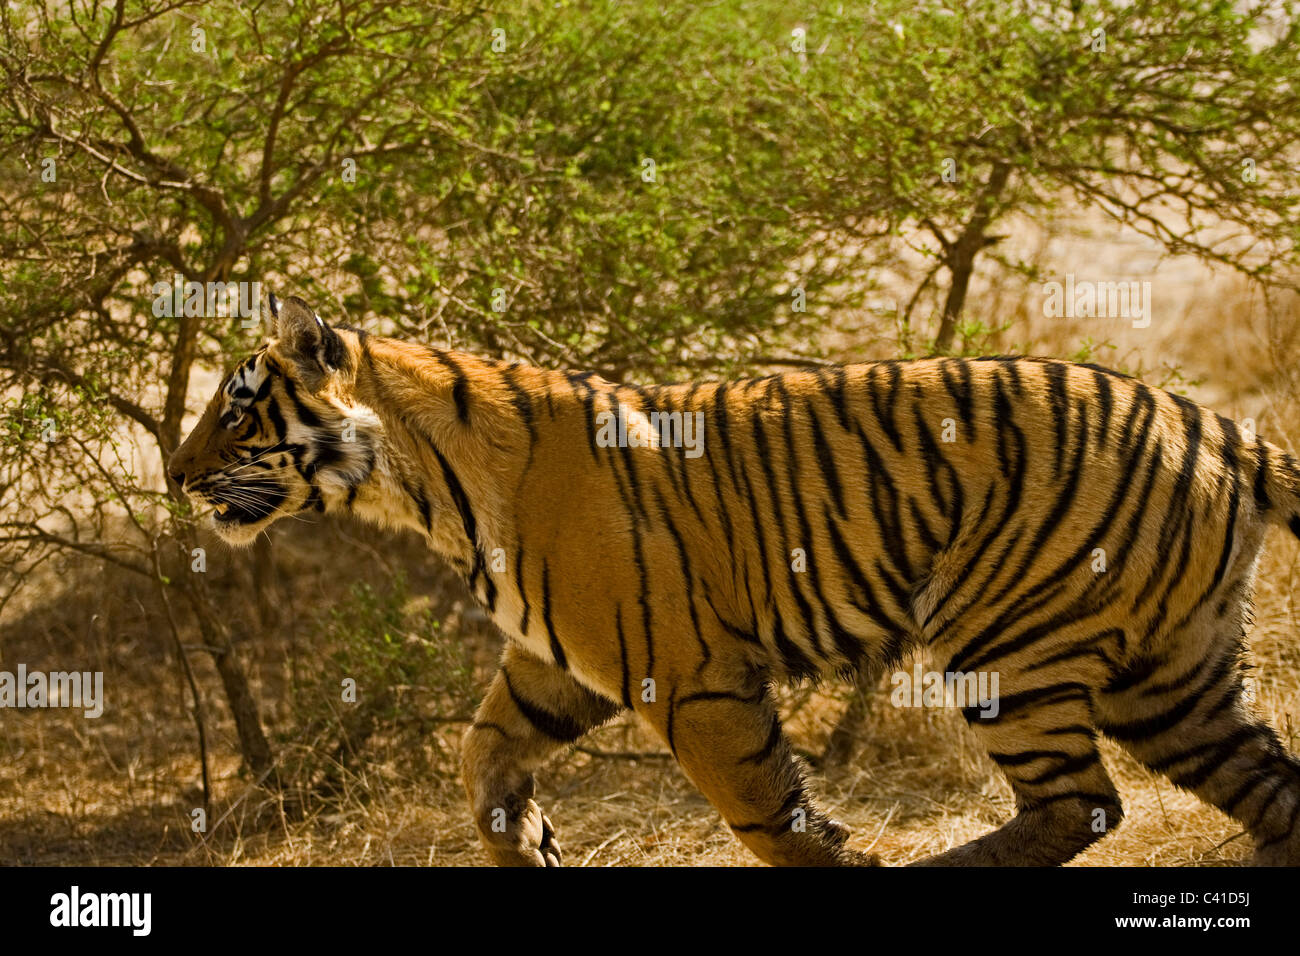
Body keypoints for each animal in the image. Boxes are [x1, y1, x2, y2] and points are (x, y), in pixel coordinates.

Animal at [166, 292, 1300, 867]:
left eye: (237, 409)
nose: (173, 475)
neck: (424, 487)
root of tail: (1216, 425)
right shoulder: (552, 661)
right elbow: (479, 757)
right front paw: (528, 842)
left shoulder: (690, 675)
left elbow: (765, 815)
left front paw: (842, 860)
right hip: (1173, 675)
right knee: (1262, 786)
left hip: (1008, 643)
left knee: (1082, 806)